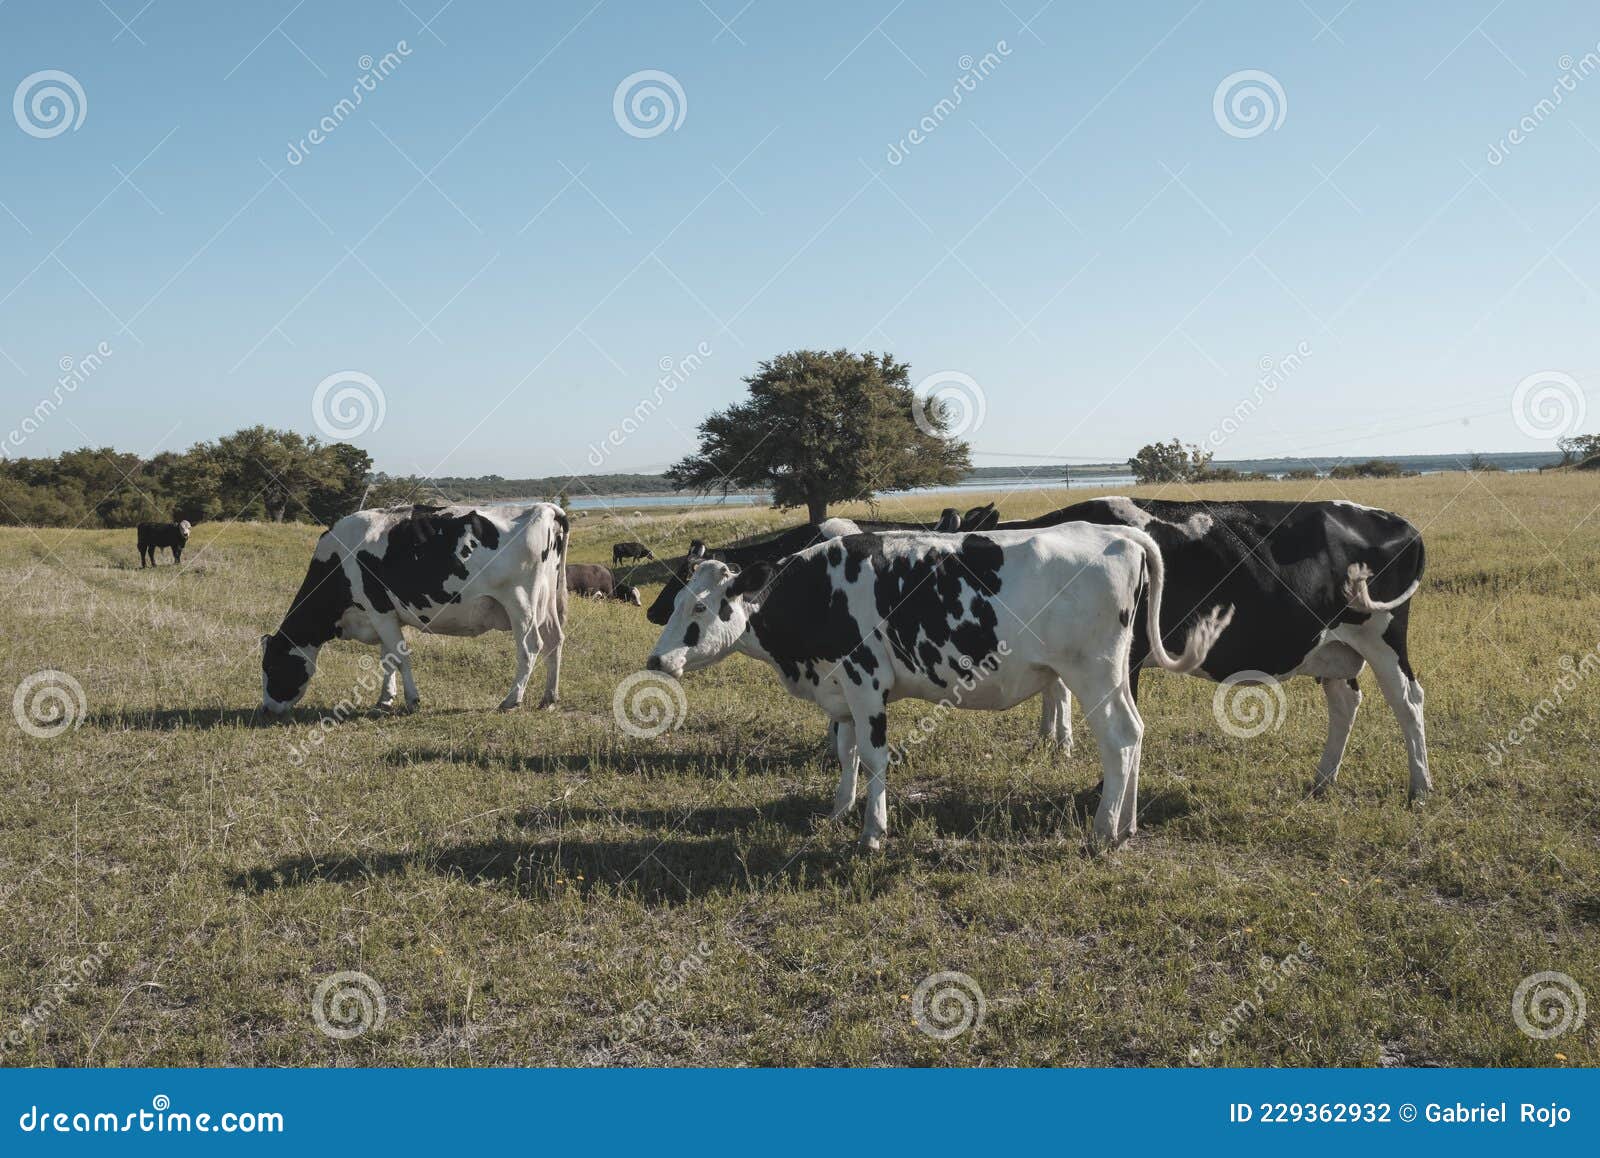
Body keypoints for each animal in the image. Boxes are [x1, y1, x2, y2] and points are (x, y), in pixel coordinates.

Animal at [260, 503, 567, 717]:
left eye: (271, 666)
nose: (267, 709)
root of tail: (543, 508)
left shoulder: (379, 610)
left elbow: (399, 656)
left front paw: (411, 700)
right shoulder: (385, 616)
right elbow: (387, 658)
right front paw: (384, 699)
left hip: (520, 604)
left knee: (530, 647)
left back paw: (511, 700)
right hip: (547, 602)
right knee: (555, 640)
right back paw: (548, 698)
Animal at [646, 528, 1232, 849]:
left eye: (700, 607)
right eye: (674, 601)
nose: (656, 659)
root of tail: (1119, 535)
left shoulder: (866, 679)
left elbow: (874, 756)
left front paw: (873, 831)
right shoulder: (840, 688)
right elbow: (845, 750)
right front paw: (838, 810)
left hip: (1093, 673)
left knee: (1118, 741)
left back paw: (1103, 830)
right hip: (1112, 674)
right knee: (1136, 732)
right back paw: (1127, 824)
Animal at [975, 497, 1431, 801]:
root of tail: (1399, 521)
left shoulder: (1121, 658)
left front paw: (1103, 787)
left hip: (1383, 637)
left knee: (1407, 700)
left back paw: (1420, 788)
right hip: (1332, 647)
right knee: (1345, 703)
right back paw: (1322, 781)